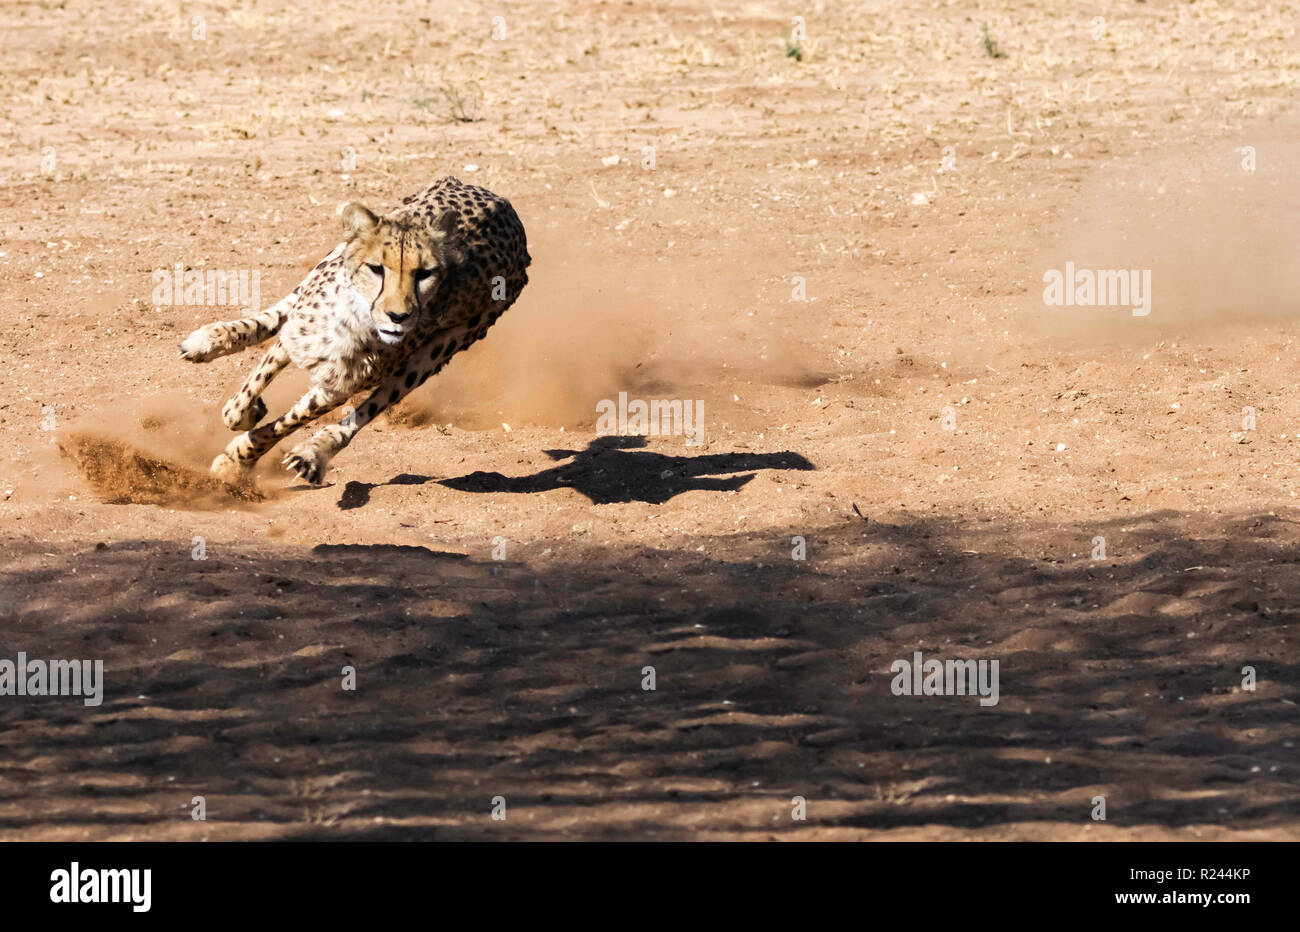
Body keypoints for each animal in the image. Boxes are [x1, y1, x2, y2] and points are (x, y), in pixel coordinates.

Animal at [180, 176, 530, 486]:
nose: (399, 316)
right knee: (278, 313)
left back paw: (314, 453)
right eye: (377, 268)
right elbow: (245, 397)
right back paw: (210, 340)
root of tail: (503, 204)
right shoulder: (296, 339)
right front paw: (248, 413)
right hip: (328, 262)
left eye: (425, 273)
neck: (353, 322)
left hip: (437, 353)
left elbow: (293, 419)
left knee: (367, 410)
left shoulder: (339, 386)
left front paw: (239, 457)